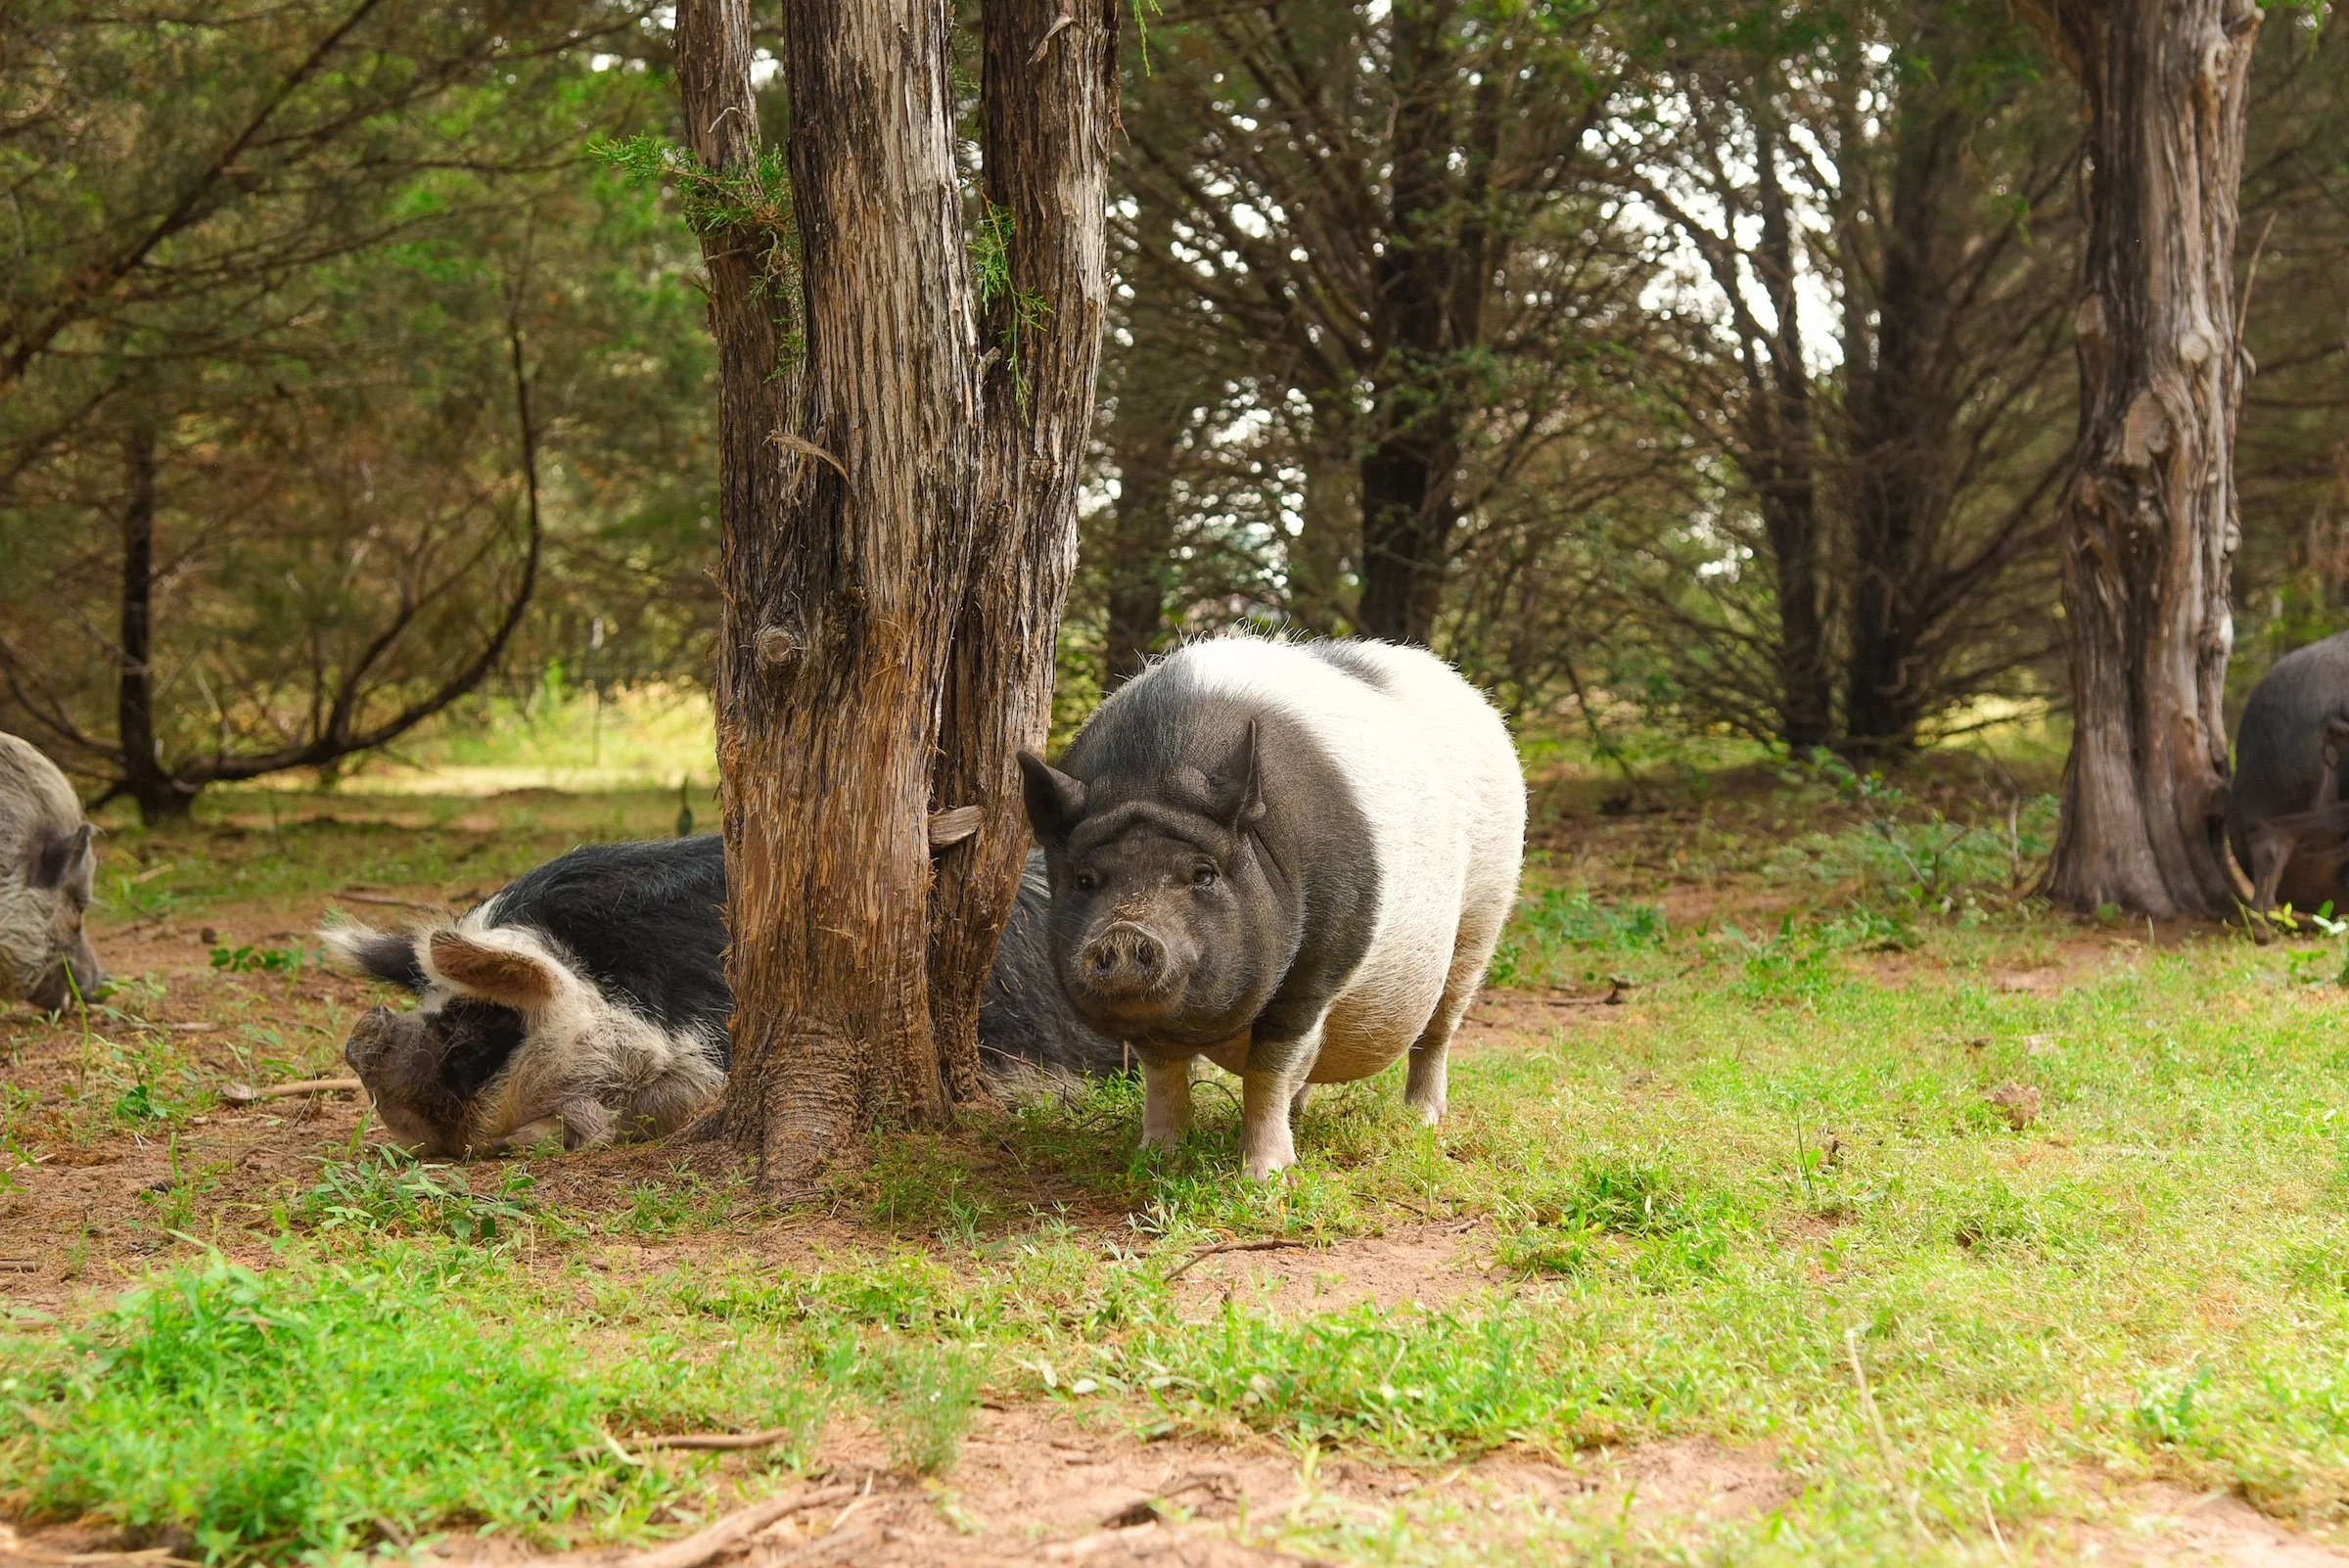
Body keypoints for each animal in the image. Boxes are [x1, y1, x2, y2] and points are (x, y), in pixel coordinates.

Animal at [1017, 634, 1526, 1179]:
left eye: (1204, 874)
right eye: (1085, 879)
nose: (1125, 932)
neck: (1153, 773)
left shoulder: (1317, 969)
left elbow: (1269, 1068)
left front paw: (1266, 1177)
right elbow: (1163, 1073)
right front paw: (1156, 1158)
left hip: (1484, 913)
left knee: (1439, 1029)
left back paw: (1422, 1120)